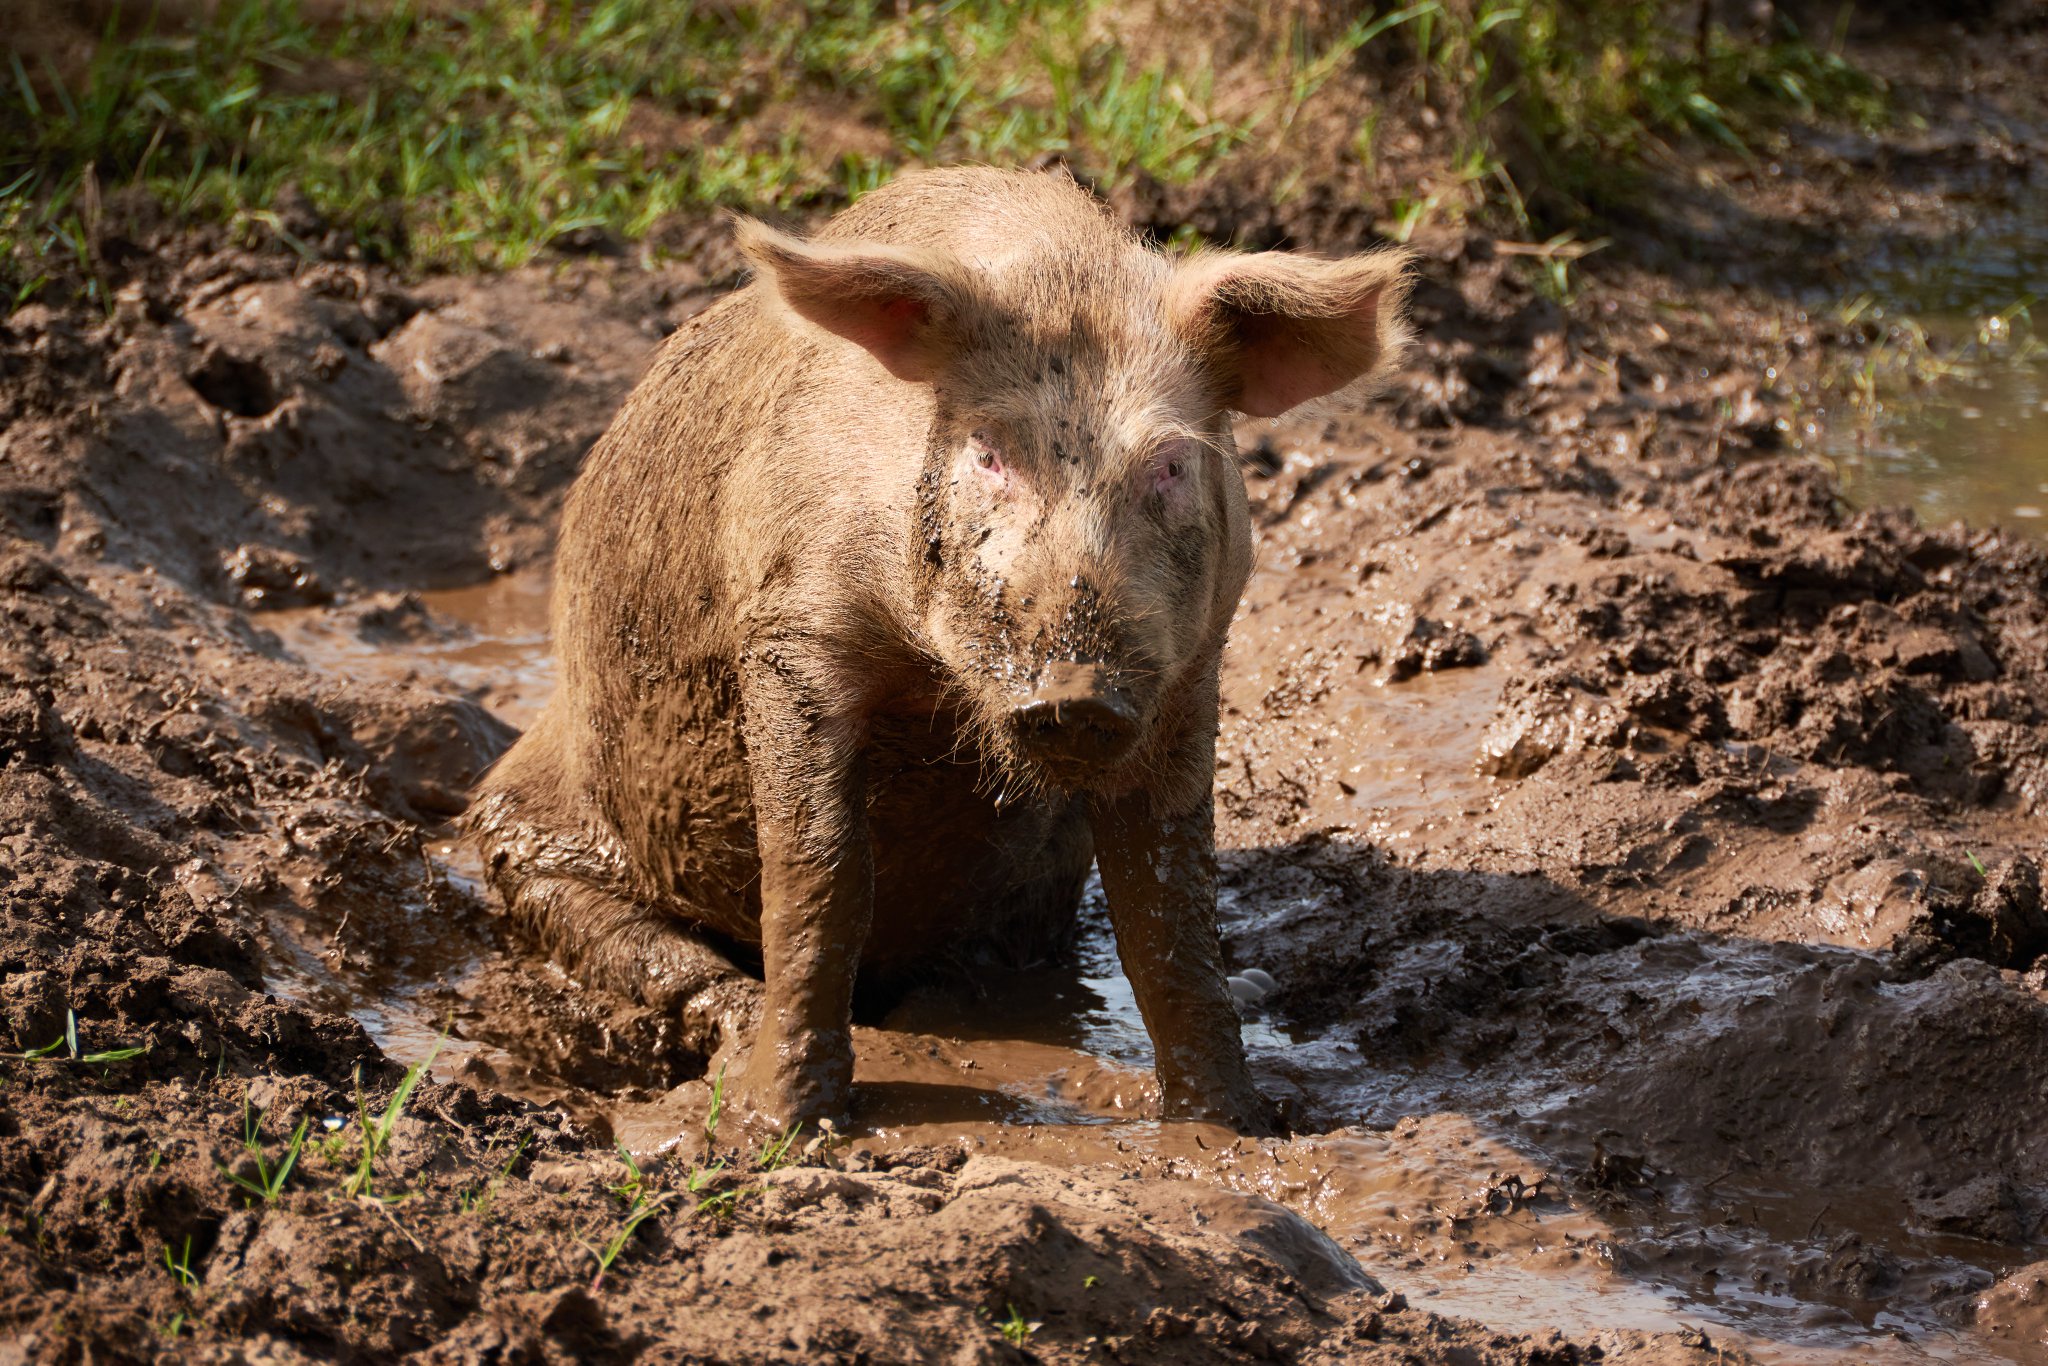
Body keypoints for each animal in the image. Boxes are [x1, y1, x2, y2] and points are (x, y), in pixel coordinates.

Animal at [468, 166, 1411, 1134]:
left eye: (1171, 464)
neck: (932, 693)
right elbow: (818, 872)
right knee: (627, 935)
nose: (1075, 690)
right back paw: (733, 1044)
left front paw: (1237, 1125)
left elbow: (1169, 905)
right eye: (990, 451)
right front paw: (781, 1124)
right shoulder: (791, 631)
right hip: (523, 828)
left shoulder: (1189, 668)